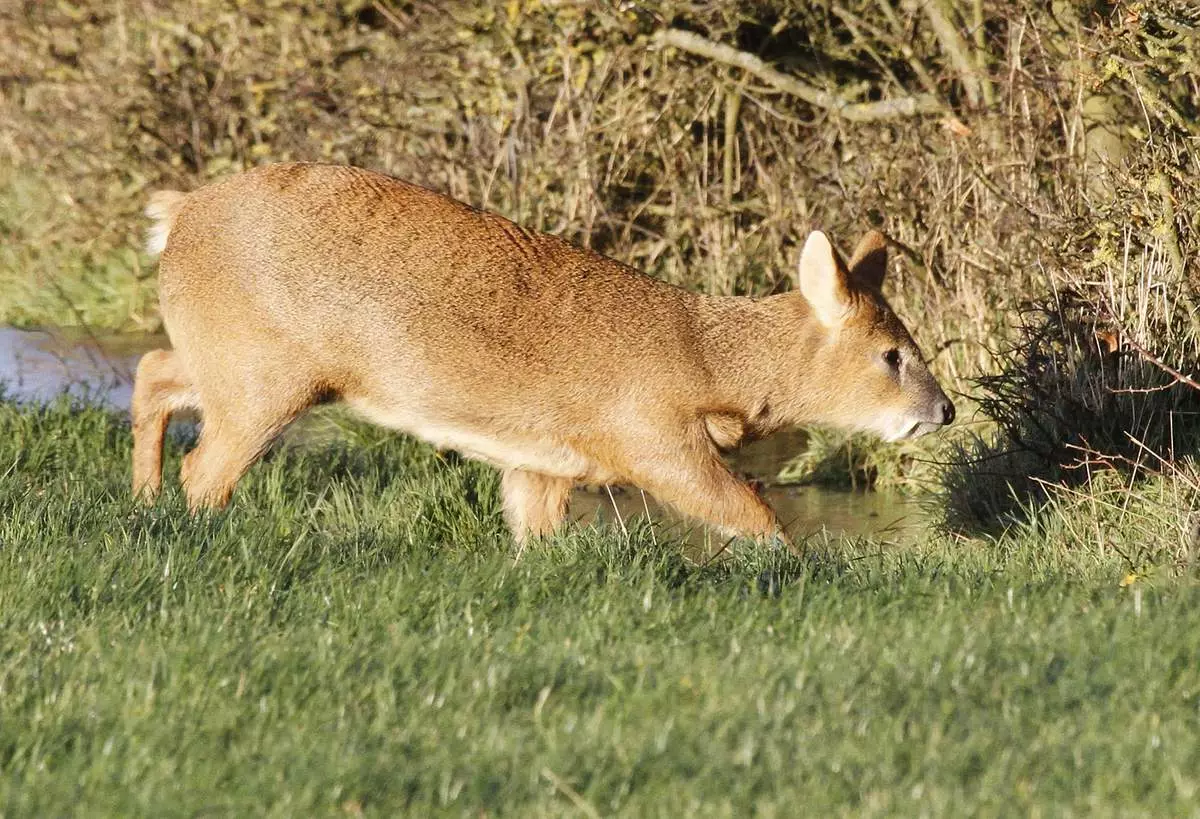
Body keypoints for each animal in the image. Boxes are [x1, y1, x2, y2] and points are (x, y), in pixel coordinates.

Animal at [133, 162, 955, 545]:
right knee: (205, 467)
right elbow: (751, 508)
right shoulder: (648, 434)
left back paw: (142, 500)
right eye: (892, 354)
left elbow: (534, 529)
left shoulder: (542, 460)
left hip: (229, 356)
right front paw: (797, 559)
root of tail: (178, 213)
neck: (709, 363)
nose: (945, 409)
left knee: (151, 372)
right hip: (266, 374)